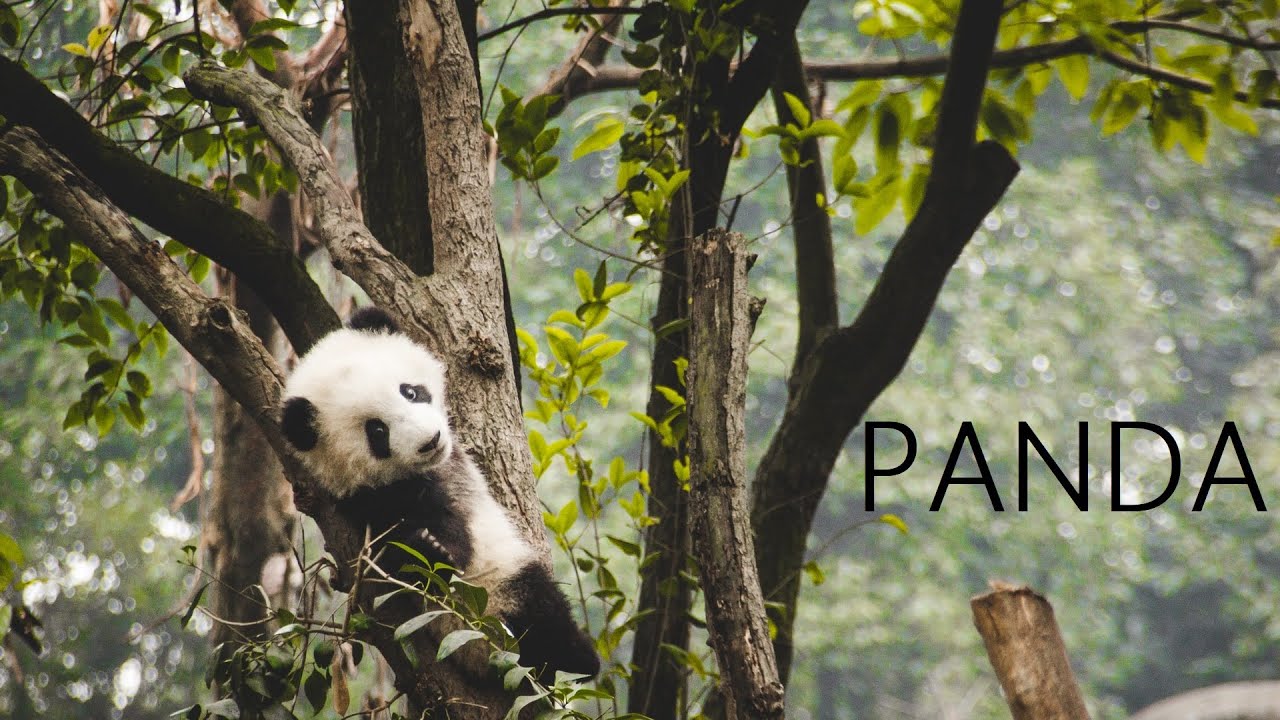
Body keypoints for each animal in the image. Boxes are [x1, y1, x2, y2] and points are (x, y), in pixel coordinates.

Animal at [279, 306, 599, 680]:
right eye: (377, 431)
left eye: (410, 391)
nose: (430, 441)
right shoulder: (367, 500)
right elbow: (412, 546)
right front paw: (430, 547)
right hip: (499, 591)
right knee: (543, 610)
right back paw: (579, 658)